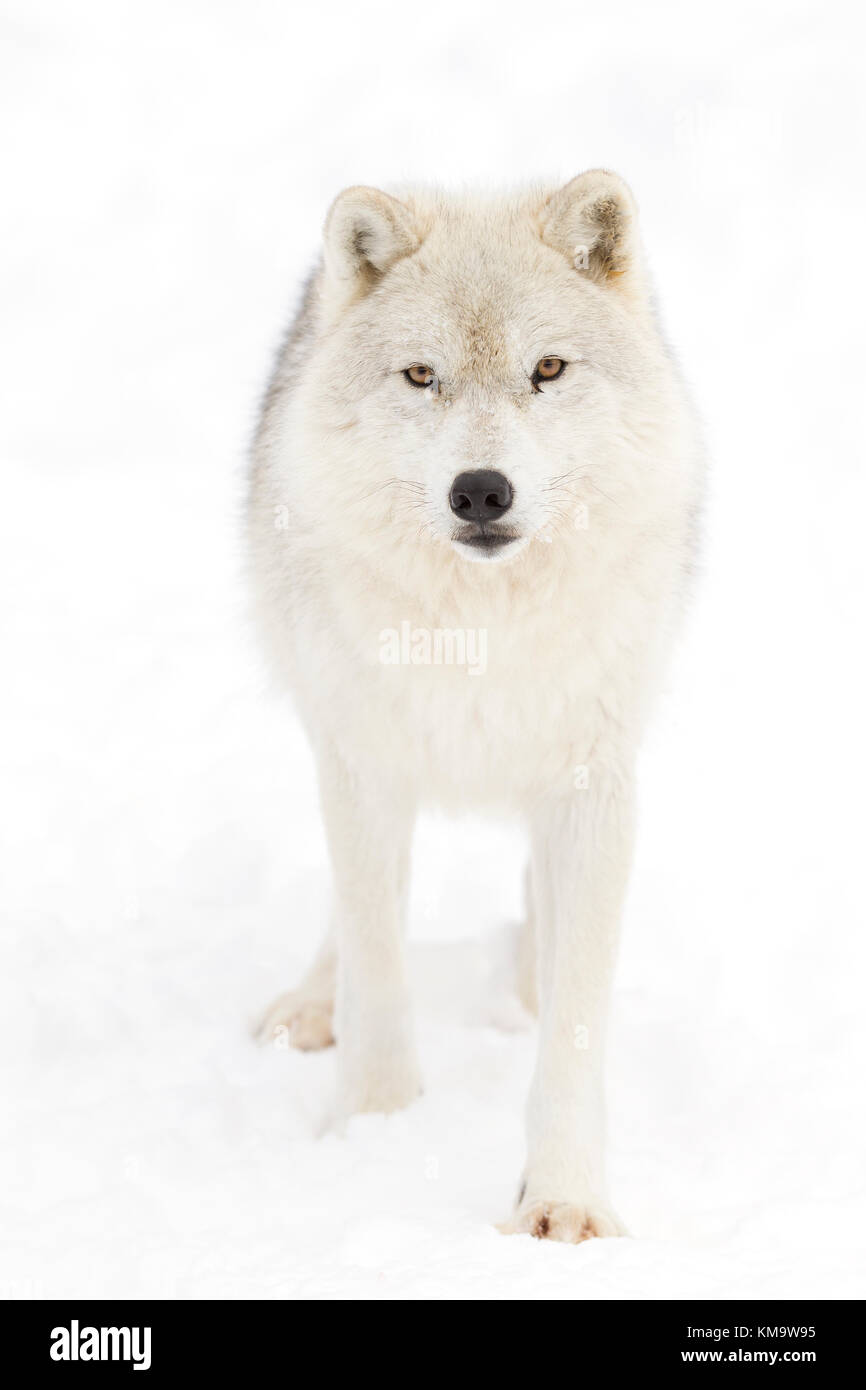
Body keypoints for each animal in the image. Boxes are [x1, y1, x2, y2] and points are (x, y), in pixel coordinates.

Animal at [247, 171, 702, 1242]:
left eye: (548, 368)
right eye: (422, 376)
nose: (481, 492)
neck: (479, 634)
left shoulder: (591, 786)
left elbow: (576, 1024)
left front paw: (565, 1202)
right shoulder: (365, 766)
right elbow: (377, 964)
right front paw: (375, 1132)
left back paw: (522, 987)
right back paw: (313, 1005)